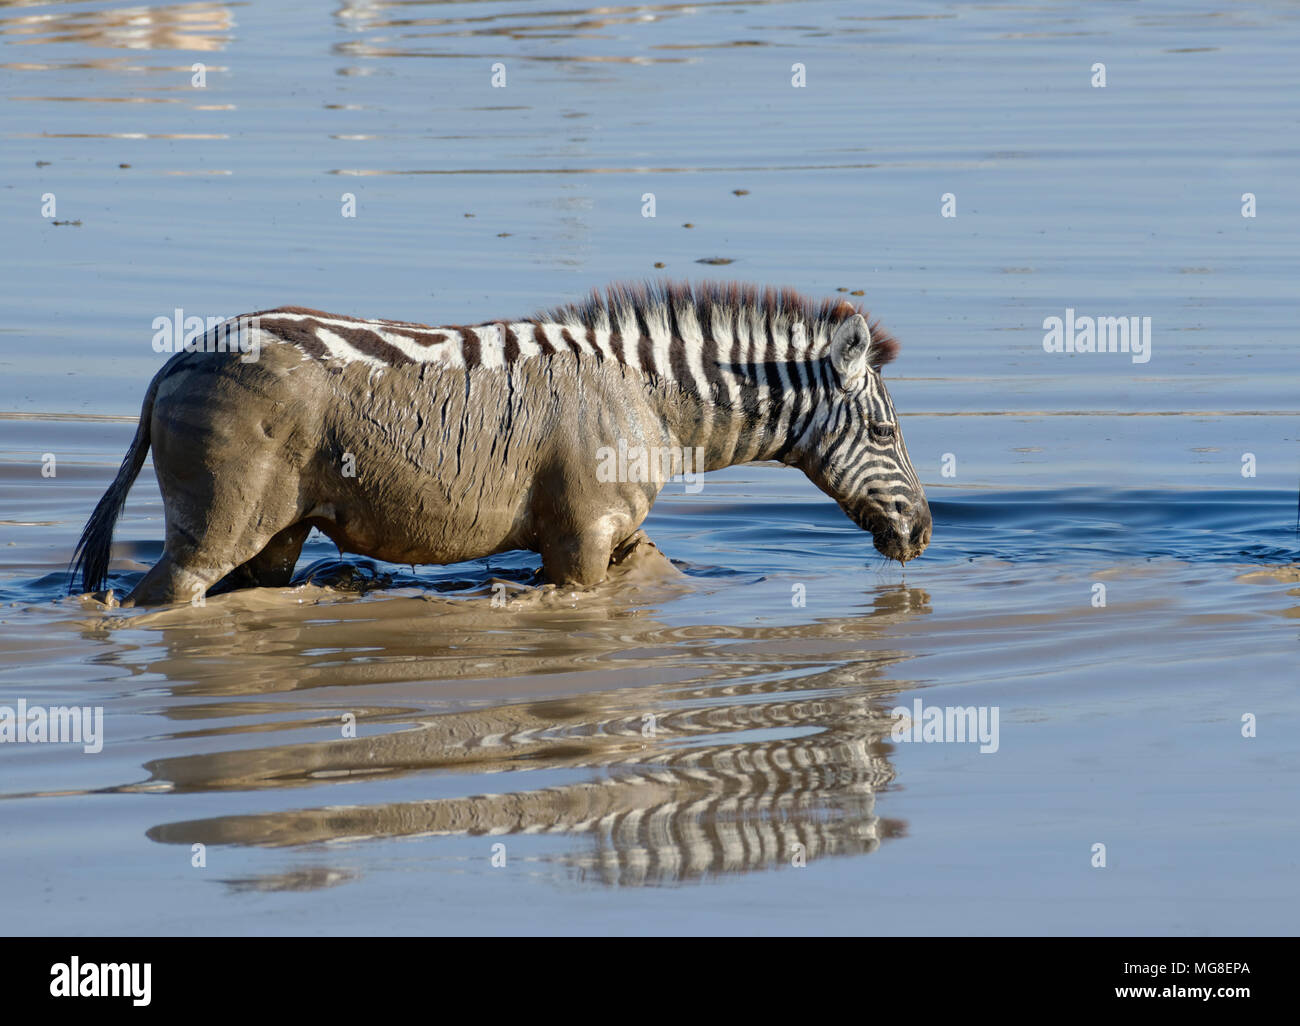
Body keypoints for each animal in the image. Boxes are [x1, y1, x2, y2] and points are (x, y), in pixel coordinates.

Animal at [72, 280, 931, 605]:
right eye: (885, 432)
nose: (923, 533)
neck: (650, 404)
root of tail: (177, 360)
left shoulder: (614, 533)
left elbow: (671, 578)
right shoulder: (581, 537)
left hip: (278, 532)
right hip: (217, 527)